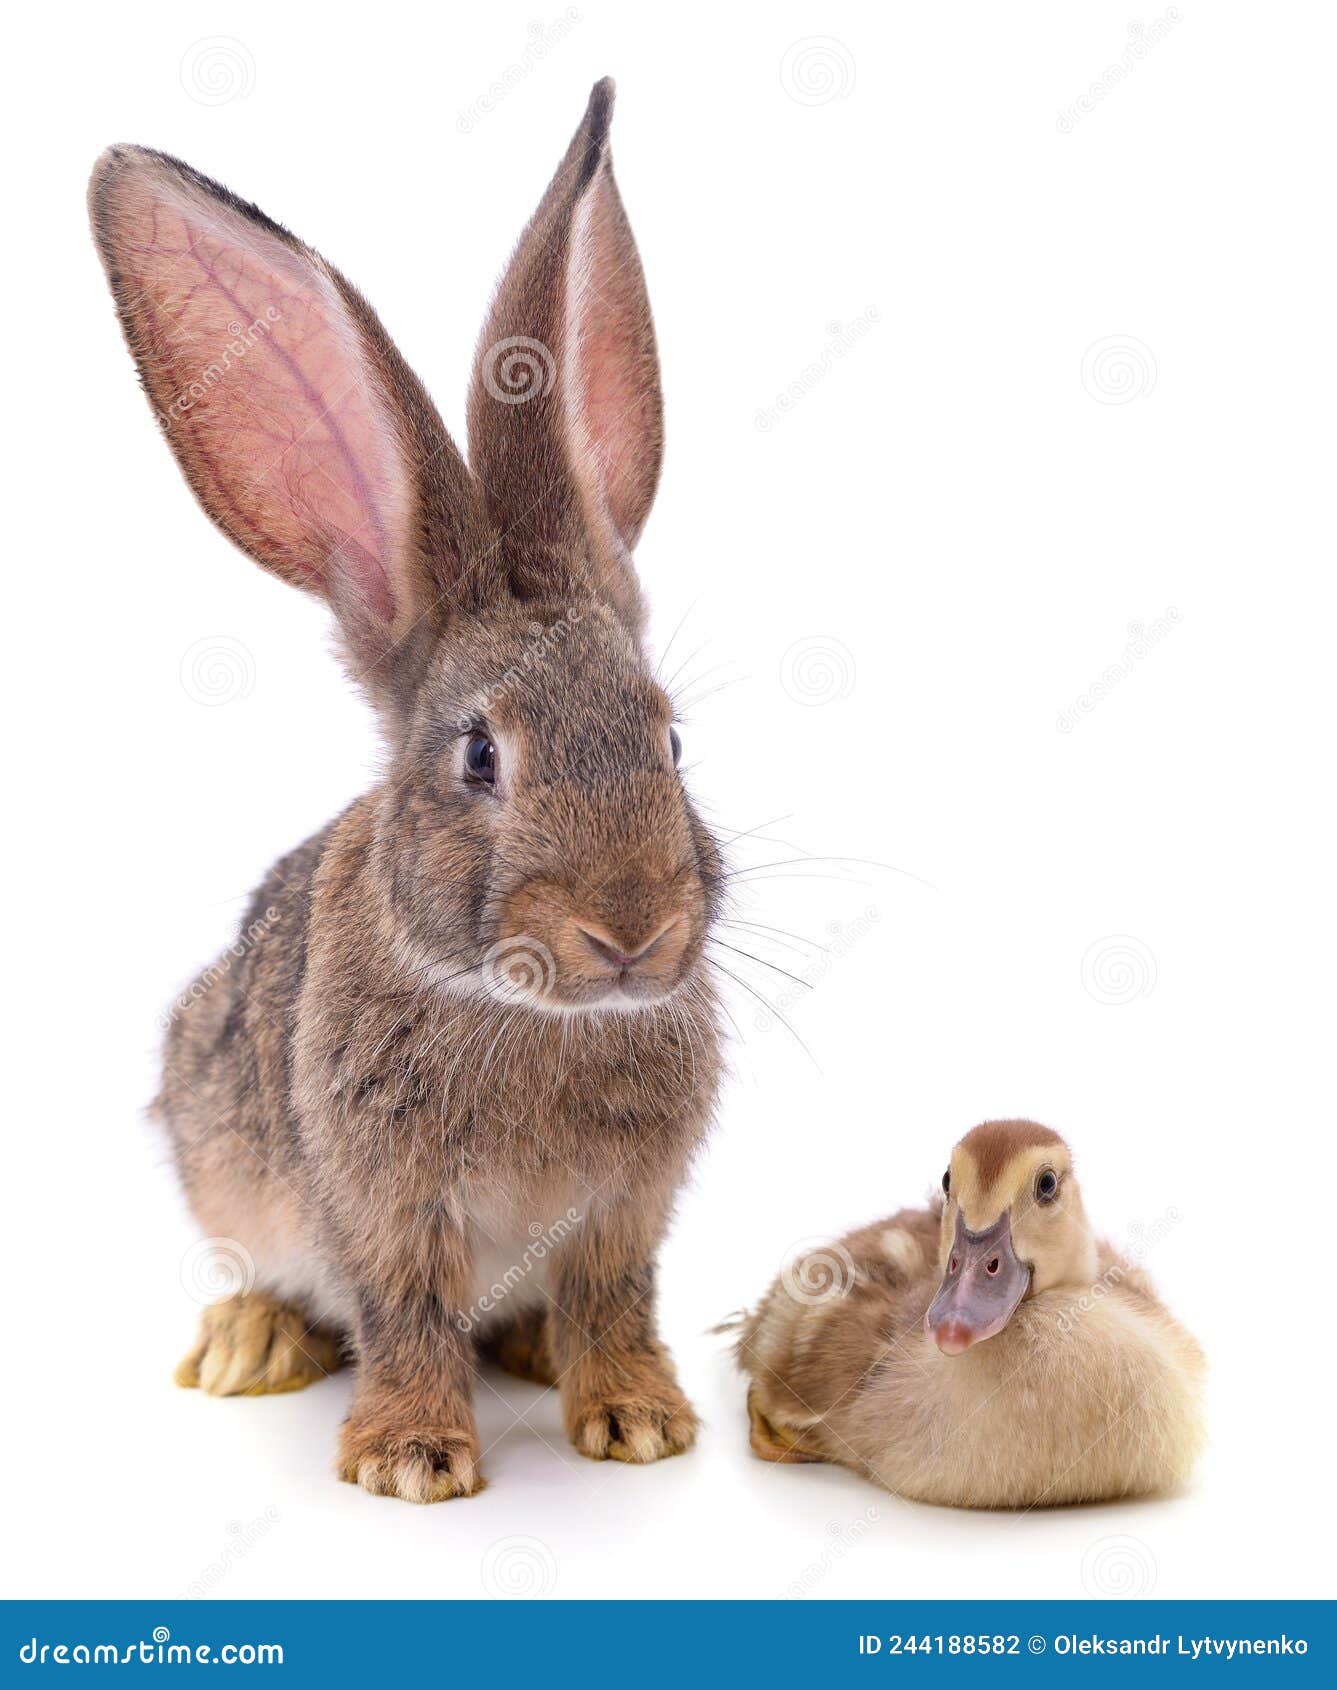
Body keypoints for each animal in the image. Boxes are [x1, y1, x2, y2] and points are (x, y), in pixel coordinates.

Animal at [89, 80, 725, 1502]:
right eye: (478, 756)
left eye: (670, 743)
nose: (631, 931)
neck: (524, 1008)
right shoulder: (383, 1203)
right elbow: (407, 1312)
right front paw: (411, 1459)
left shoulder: (626, 1211)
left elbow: (613, 1298)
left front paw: (639, 1421)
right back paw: (248, 1343)